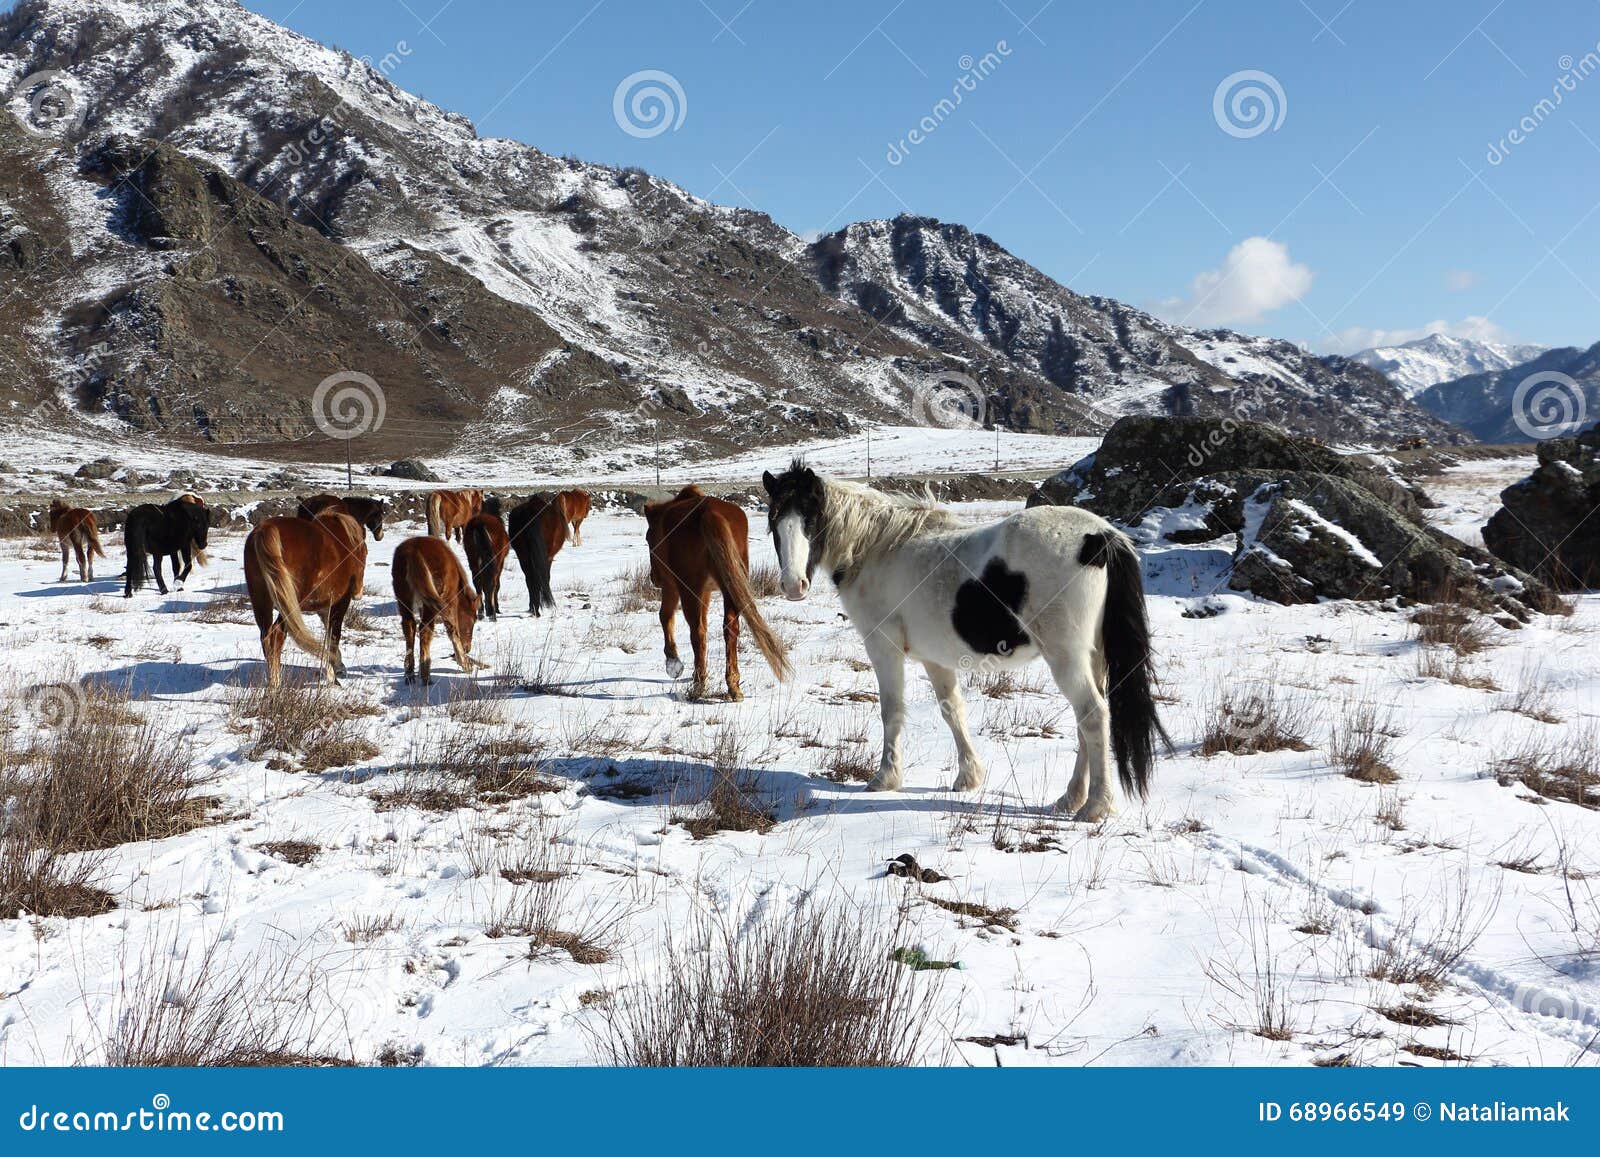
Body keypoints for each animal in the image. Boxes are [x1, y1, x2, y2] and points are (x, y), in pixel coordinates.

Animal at [242, 510, 367, 686]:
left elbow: (328, 635)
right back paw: (276, 683)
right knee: (276, 635)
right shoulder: (340, 602)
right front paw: (333, 678)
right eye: (365, 552)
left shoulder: (323, 607)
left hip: (261, 601)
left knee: (265, 637)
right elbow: (334, 637)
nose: (359, 592)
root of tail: (265, 529)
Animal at [393, 536, 488, 684]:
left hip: (404, 599)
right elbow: (452, 630)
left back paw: (410, 675)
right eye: (474, 619)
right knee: (425, 629)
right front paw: (465, 664)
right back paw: (426, 676)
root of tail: (413, 550)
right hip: (432, 604)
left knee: (409, 628)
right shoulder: (451, 601)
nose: (467, 648)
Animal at [643, 485, 790, 701]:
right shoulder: (706, 592)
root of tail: (709, 513)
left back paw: (699, 685)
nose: (655, 578)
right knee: (730, 628)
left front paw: (673, 664)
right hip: (729, 587)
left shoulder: (673, 586)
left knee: (697, 632)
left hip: (689, 589)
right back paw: (733, 686)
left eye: (648, 538)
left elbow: (665, 616)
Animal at [762, 462, 1169, 821]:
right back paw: (1071, 798)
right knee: (1089, 721)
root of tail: (1101, 537)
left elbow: (891, 711)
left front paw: (885, 779)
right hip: (1093, 656)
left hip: (1066, 657)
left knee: (1093, 715)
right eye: (774, 522)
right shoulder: (935, 659)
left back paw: (1095, 807)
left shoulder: (883, 646)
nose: (792, 586)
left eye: (810, 519)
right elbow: (952, 710)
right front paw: (969, 777)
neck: (877, 547)